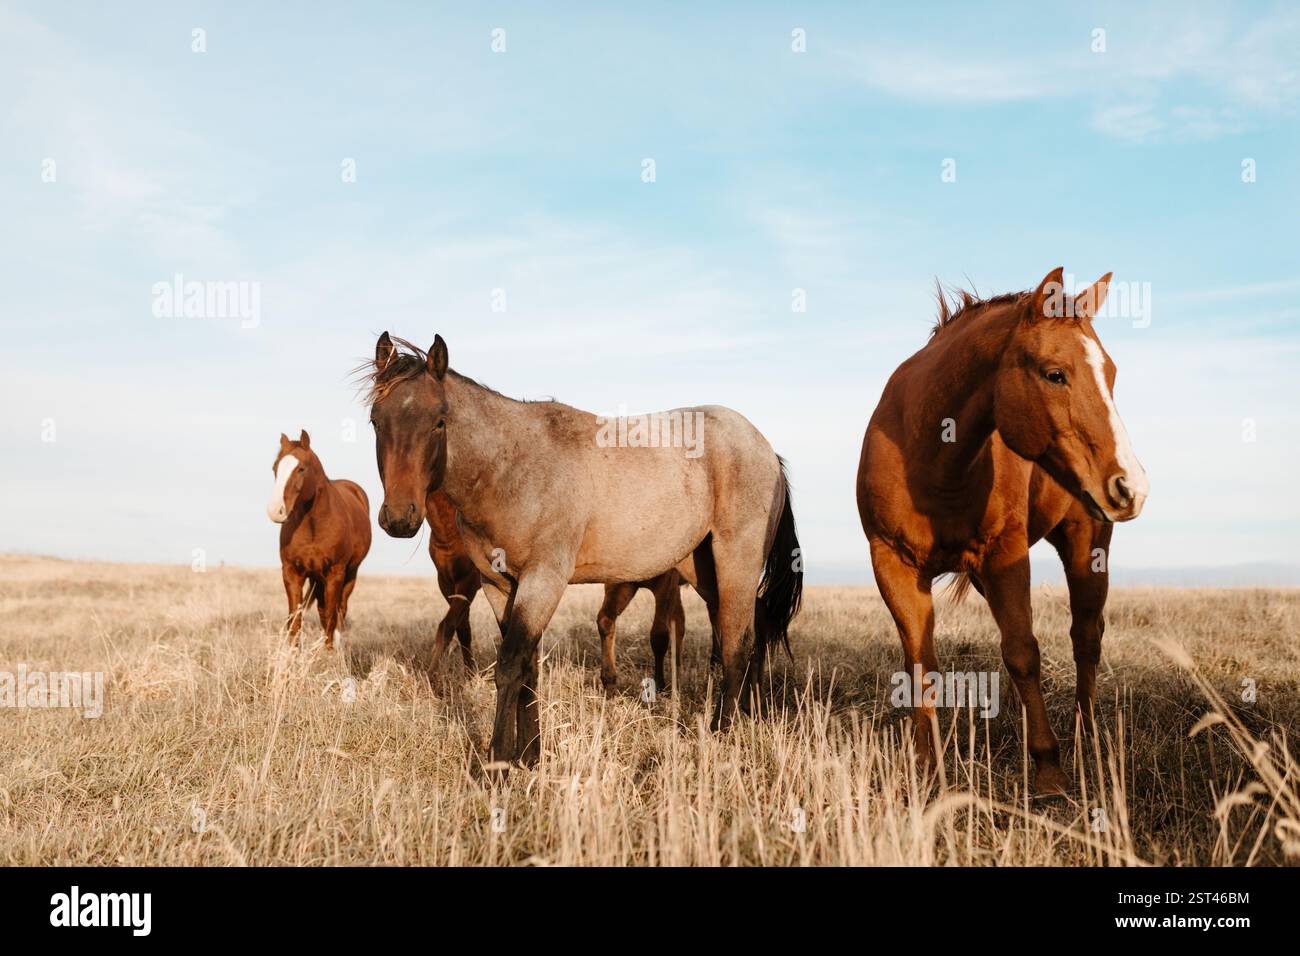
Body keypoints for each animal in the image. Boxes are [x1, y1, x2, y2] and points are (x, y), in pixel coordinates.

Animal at [267, 430, 372, 649]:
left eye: (301, 469)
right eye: (275, 467)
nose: (275, 511)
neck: (313, 526)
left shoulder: (335, 573)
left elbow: (331, 616)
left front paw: (328, 653)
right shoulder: (292, 572)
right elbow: (295, 618)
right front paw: (293, 653)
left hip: (350, 573)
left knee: (340, 609)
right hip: (317, 578)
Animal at [365, 332, 802, 768]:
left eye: (439, 420)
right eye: (375, 420)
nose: (400, 519)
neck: (511, 467)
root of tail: (766, 449)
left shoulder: (544, 579)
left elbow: (510, 663)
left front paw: (498, 763)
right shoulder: (498, 586)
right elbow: (528, 667)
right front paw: (531, 755)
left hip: (735, 561)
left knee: (735, 643)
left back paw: (721, 732)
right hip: (703, 568)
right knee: (752, 628)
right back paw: (751, 712)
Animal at [856, 268, 1148, 795]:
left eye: (1111, 373)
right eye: (1055, 374)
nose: (1131, 486)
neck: (932, 458)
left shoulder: (1004, 556)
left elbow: (1022, 652)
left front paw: (1049, 770)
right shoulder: (892, 565)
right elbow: (920, 665)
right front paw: (927, 770)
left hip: (1086, 547)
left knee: (1086, 637)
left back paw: (1086, 736)